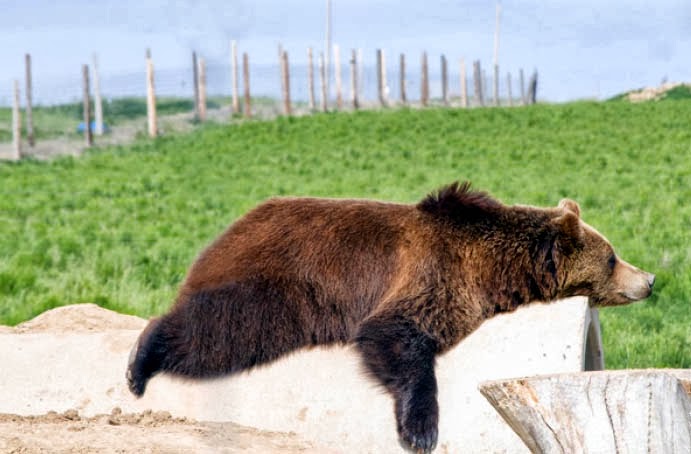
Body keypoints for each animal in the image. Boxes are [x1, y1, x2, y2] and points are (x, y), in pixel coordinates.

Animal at [127, 181, 655, 453]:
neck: (494, 270)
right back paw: (140, 363)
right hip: (280, 285)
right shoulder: (435, 274)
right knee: (222, 333)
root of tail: (229, 228)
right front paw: (420, 431)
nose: (649, 279)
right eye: (612, 256)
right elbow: (397, 335)